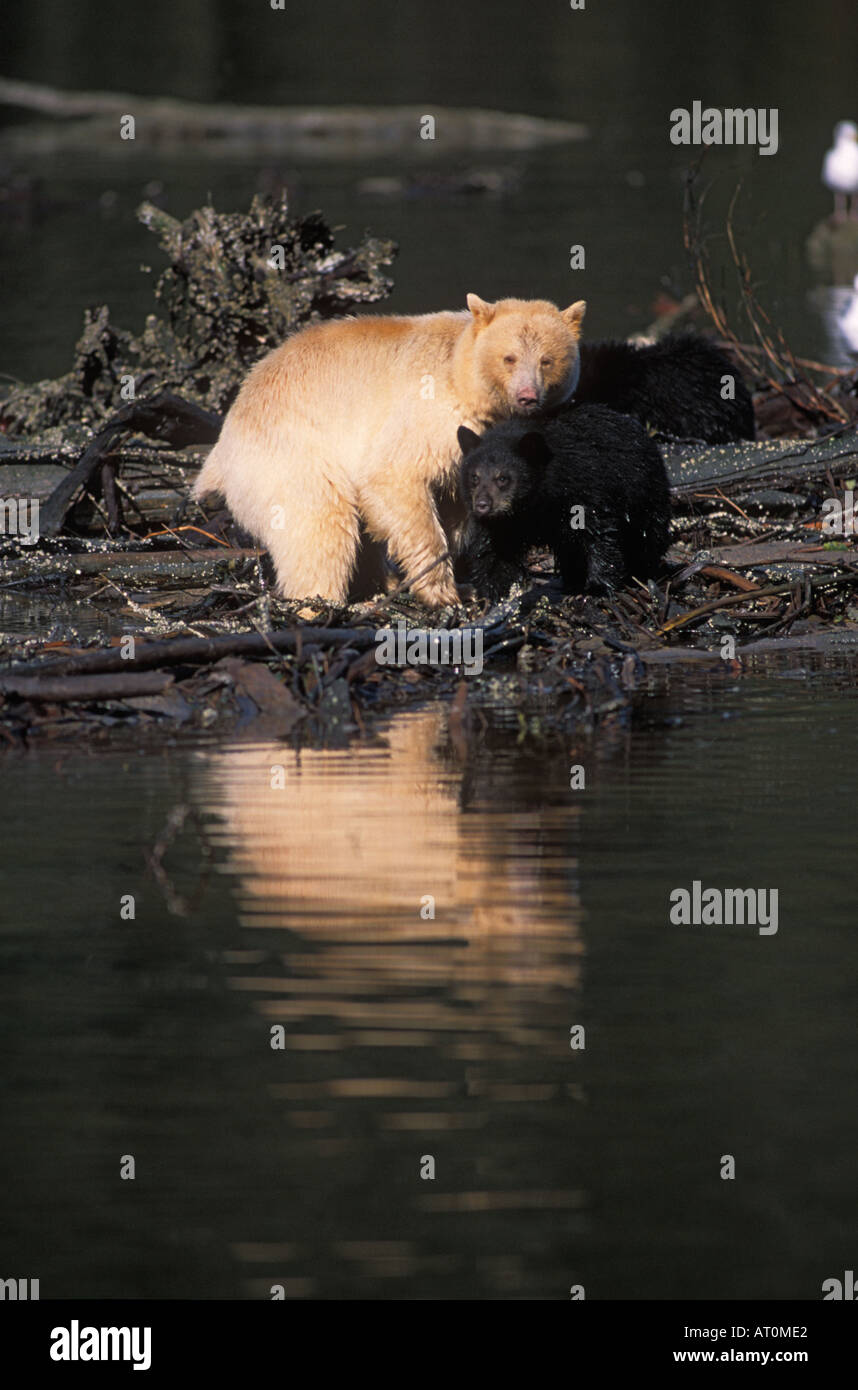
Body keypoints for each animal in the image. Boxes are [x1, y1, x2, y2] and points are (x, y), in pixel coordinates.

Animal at [192, 294, 587, 608]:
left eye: (547, 360)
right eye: (509, 358)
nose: (528, 396)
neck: (462, 376)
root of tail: (220, 450)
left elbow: (455, 503)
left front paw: (462, 577)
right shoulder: (428, 414)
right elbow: (394, 478)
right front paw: (442, 591)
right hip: (289, 458)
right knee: (320, 525)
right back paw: (321, 601)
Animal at [457, 404, 671, 601]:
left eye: (502, 478)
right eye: (474, 477)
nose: (482, 505)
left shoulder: (586, 492)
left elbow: (599, 536)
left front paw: (597, 588)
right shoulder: (502, 525)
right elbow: (493, 553)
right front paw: (494, 596)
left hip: (648, 496)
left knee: (648, 536)